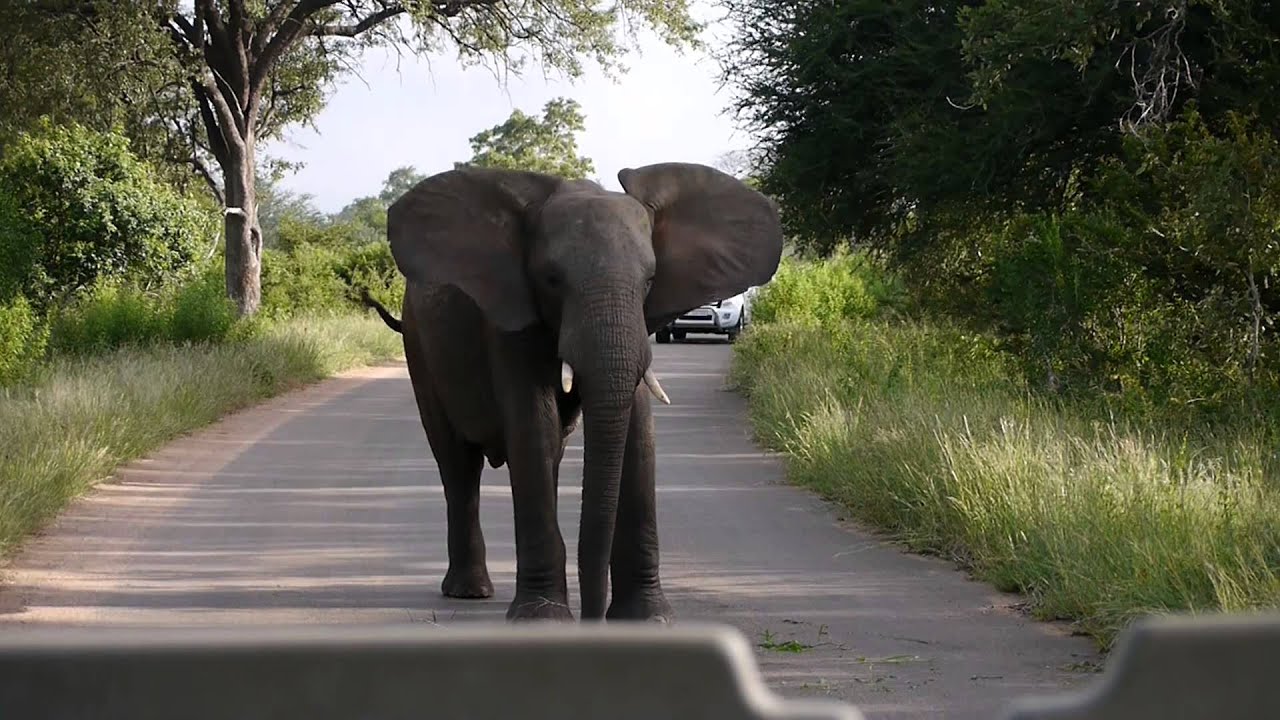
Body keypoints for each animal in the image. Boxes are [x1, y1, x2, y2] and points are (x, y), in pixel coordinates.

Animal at [360, 162, 783, 622]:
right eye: (550, 279)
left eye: (650, 280)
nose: (593, 619)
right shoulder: (510, 316)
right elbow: (533, 424)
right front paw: (541, 618)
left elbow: (638, 435)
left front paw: (647, 617)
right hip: (419, 346)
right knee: (457, 464)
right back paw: (469, 592)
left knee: (550, 453)